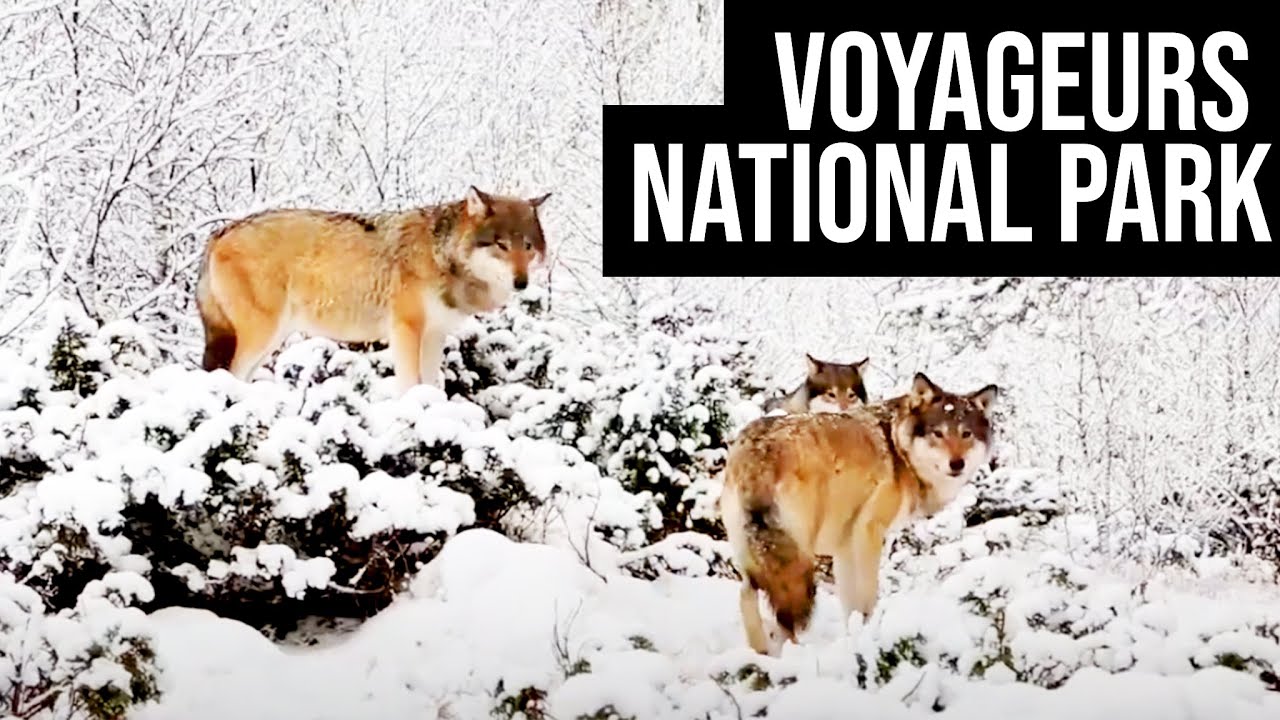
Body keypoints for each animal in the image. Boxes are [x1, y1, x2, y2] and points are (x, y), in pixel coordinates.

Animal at [195, 186, 550, 393]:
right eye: (501, 245)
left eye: (527, 246)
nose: (521, 283)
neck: (441, 256)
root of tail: (219, 233)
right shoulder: (406, 329)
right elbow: (408, 385)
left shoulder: (435, 334)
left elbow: (431, 385)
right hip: (262, 335)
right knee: (231, 373)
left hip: (272, 339)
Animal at [719, 372, 999, 655]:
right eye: (938, 434)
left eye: (966, 434)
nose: (957, 464)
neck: (900, 450)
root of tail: (759, 453)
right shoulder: (869, 532)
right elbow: (867, 598)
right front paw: (869, 636)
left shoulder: (844, 547)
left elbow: (850, 604)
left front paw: (853, 637)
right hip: (799, 555)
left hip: (757, 556)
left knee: (746, 596)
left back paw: (762, 654)